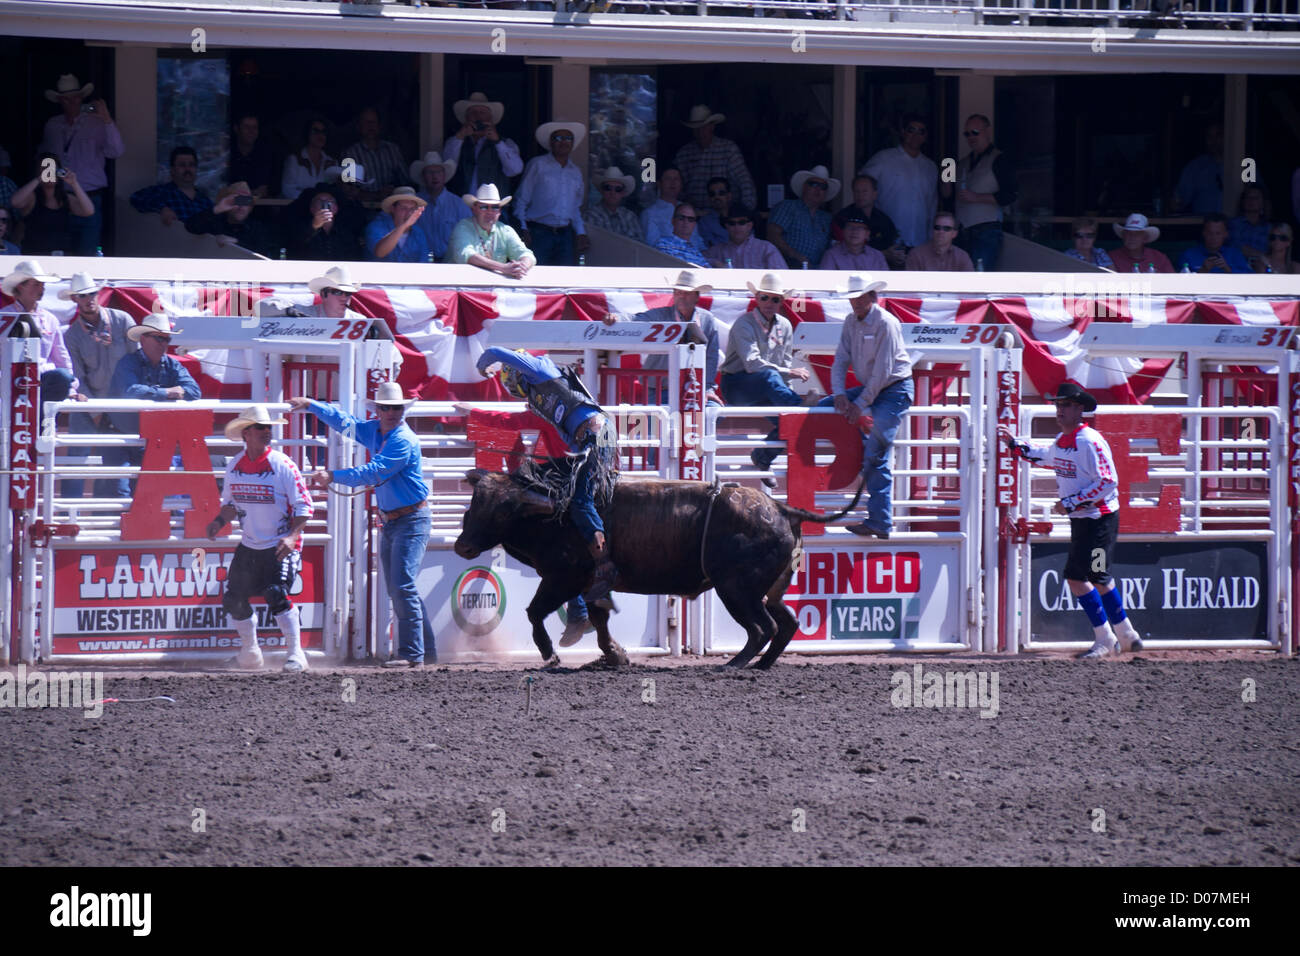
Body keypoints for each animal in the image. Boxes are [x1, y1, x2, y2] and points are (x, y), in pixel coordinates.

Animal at [454, 469, 864, 670]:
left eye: (504, 510)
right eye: (473, 502)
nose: (462, 546)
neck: (558, 514)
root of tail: (781, 508)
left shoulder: (562, 578)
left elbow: (536, 612)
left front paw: (550, 654)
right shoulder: (591, 584)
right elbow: (600, 618)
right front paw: (615, 655)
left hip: (737, 590)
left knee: (764, 627)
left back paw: (734, 664)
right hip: (768, 589)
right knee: (786, 623)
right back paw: (761, 665)